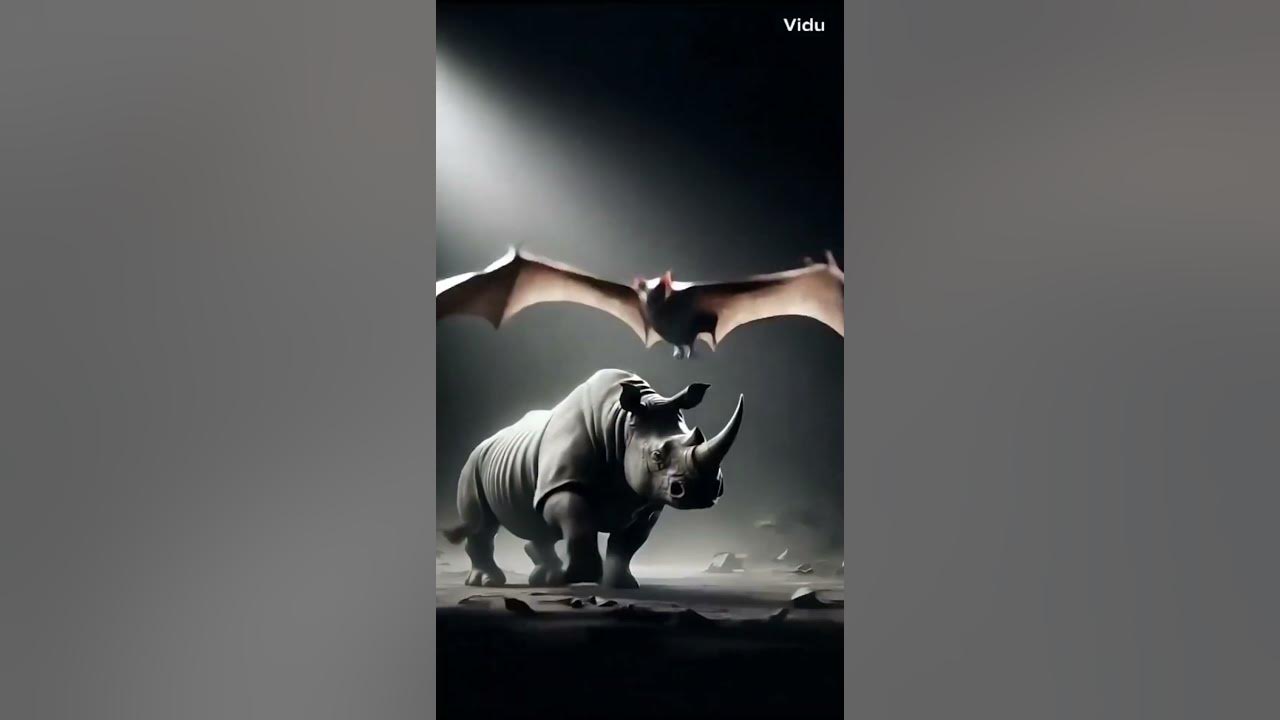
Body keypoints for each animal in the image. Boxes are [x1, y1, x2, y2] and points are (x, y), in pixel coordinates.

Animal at [442, 369, 744, 588]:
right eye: (657, 455)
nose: (703, 490)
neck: (621, 426)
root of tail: (486, 441)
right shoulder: (562, 483)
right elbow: (579, 525)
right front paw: (578, 577)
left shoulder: (646, 501)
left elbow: (627, 544)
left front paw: (620, 584)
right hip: (473, 465)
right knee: (481, 524)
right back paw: (490, 582)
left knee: (539, 527)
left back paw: (546, 580)